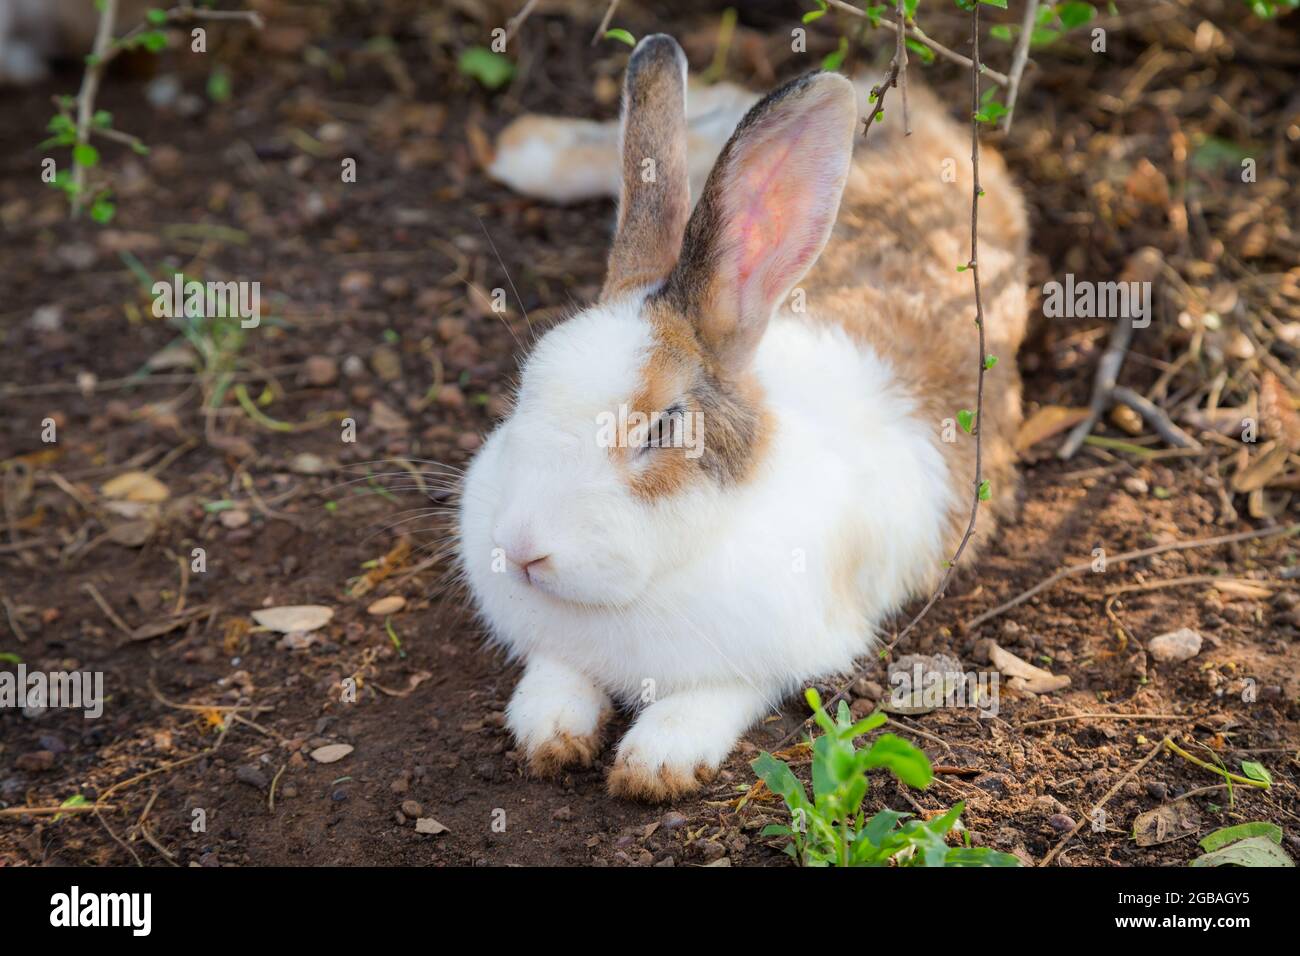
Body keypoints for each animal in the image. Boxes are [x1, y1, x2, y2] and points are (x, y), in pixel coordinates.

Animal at [457, 33, 1028, 801]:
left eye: (663, 428)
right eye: (525, 389)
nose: (521, 551)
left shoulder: (780, 654)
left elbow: (715, 697)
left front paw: (655, 764)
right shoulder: (558, 644)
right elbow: (557, 676)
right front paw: (549, 731)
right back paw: (527, 148)